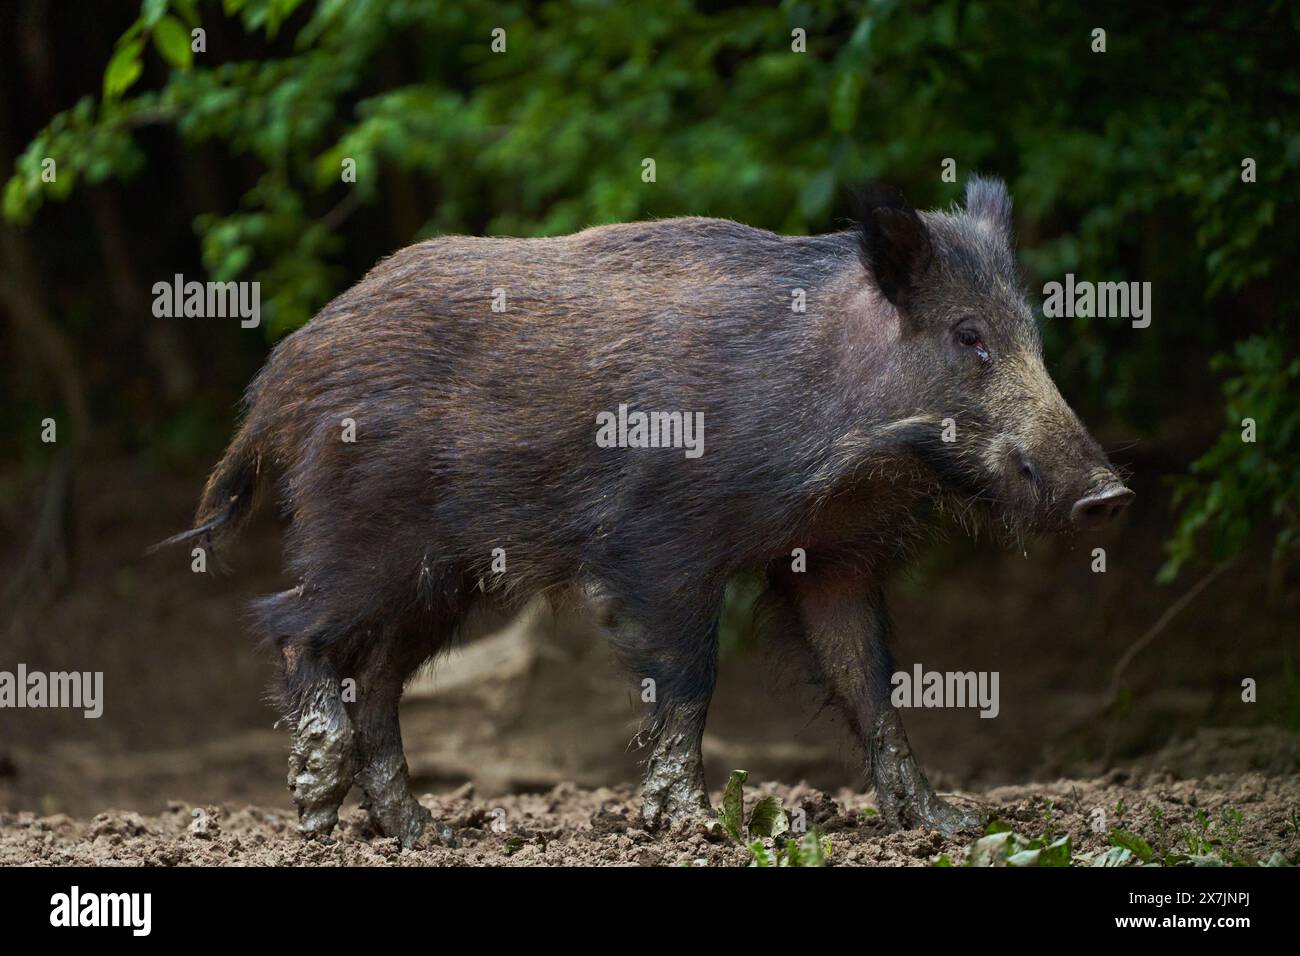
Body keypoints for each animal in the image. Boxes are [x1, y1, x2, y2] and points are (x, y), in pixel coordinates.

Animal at [156, 176, 1132, 847]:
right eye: (970, 336)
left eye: (1034, 334)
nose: (1111, 495)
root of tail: (281, 378)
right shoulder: (656, 546)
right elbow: (692, 678)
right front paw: (694, 825)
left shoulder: (833, 554)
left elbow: (870, 683)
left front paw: (946, 825)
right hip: (366, 534)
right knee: (290, 622)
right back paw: (320, 807)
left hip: (444, 577)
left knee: (382, 681)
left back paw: (429, 834)